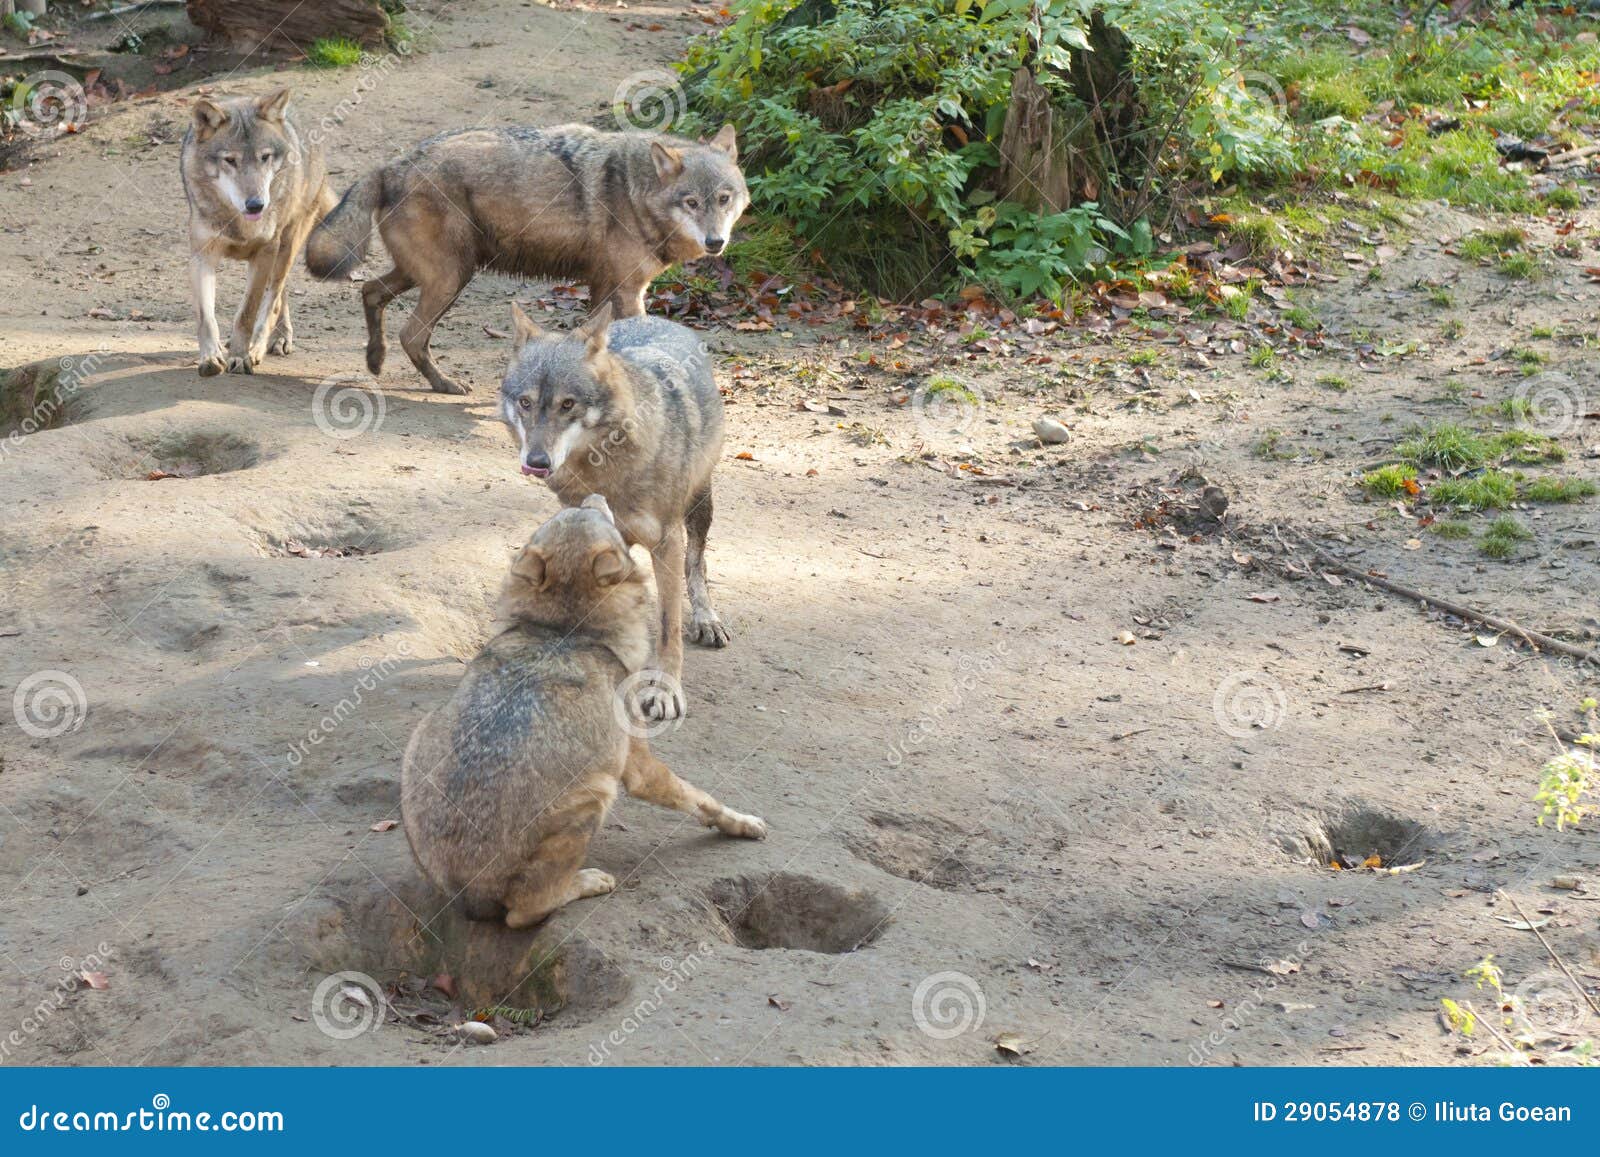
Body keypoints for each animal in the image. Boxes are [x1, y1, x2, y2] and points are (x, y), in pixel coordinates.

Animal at [180, 88, 334, 376]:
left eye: (265, 157)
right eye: (230, 160)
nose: (256, 204)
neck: (238, 221)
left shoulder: (265, 252)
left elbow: (248, 312)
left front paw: (240, 357)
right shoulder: (202, 255)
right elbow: (206, 317)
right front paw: (211, 357)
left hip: (287, 245)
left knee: (274, 299)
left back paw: (264, 345)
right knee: (280, 294)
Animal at [303, 122, 748, 394]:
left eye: (724, 199)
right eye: (691, 203)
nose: (715, 242)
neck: (635, 192)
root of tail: (391, 164)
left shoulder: (605, 289)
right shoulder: (626, 292)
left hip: (427, 275)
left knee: (371, 292)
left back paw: (375, 361)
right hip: (451, 278)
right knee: (410, 333)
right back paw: (445, 384)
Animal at [401, 496, 766, 928]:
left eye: (568, 515)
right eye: (593, 516)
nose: (592, 497)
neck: (564, 630)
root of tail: (467, 894)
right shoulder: (637, 765)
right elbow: (700, 797)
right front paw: (743, 823)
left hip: (420, 734)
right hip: (597, 791)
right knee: (524, 912)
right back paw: (588, 881)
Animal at [499, 304, 729, 722]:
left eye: (568, 404)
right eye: (525, 403)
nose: (537, 462)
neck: (604, 469)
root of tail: (651, 317)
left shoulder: (667, 542)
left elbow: (668, 626)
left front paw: (664, 689)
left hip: (699, 506)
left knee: (698, 564)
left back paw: (706, 618)